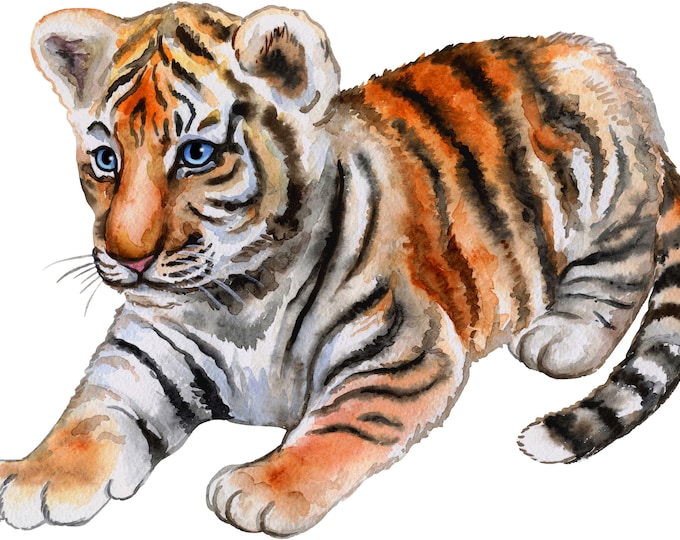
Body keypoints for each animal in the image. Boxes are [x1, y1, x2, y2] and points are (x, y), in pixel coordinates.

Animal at [1, 1, 678, 535]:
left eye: (195, 155)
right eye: (105, 159)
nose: (128, 258)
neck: (240, 298)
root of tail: (596, 57)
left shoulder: (403, 355)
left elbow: (341, 427)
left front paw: (260, 488)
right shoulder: (147, 349)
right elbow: (93, 410)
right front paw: (38, 476)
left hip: (611, 192)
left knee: (622, 268)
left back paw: (563, 336)